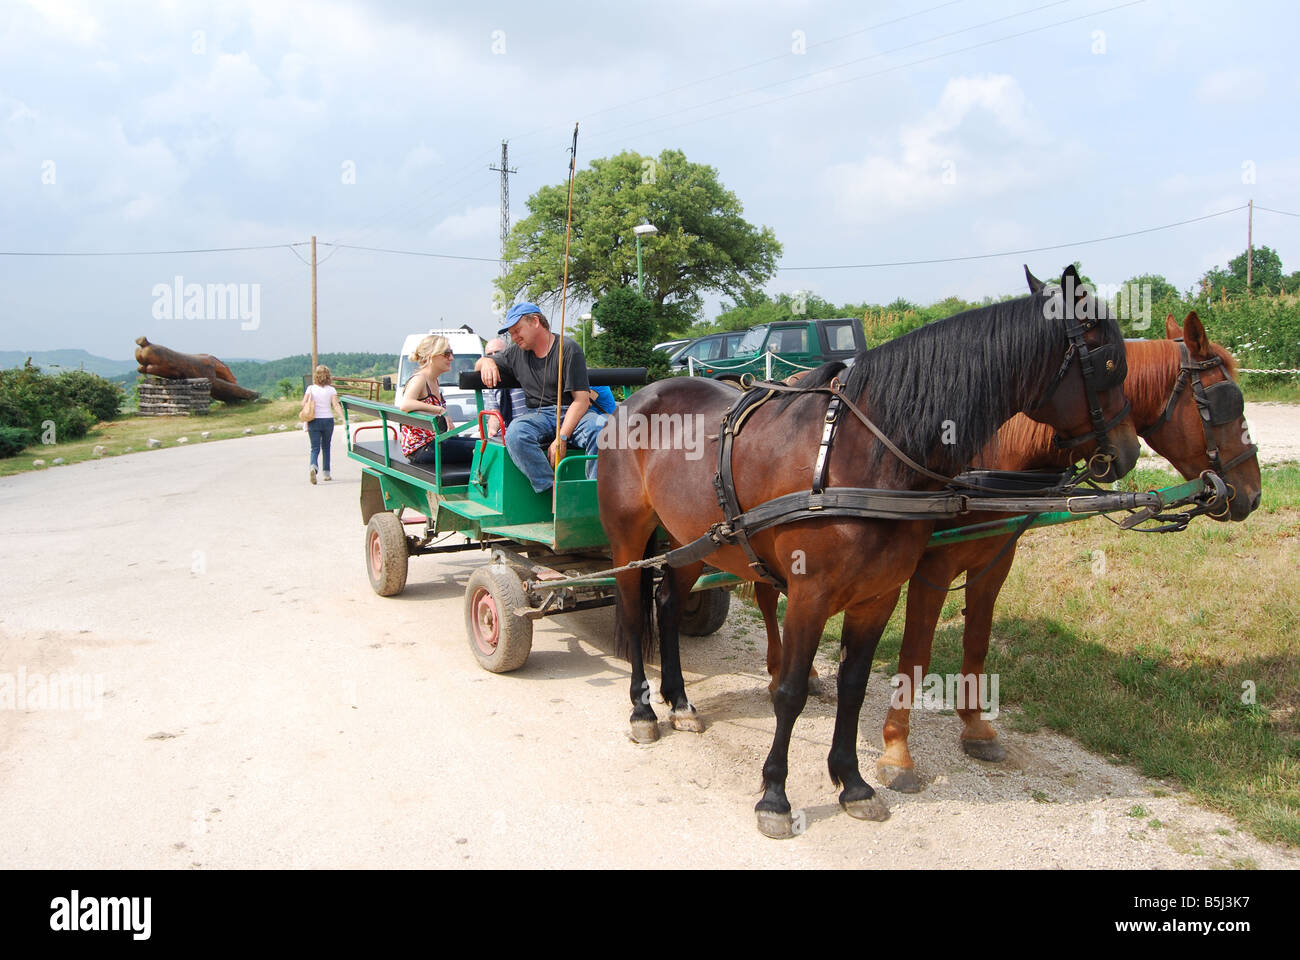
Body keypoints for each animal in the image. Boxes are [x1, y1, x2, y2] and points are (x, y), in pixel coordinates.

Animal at [596, 264, 1141, 837]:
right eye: (1109, 362)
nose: (1128, 453)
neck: (863, 453)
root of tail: (634, 398)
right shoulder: (809, 596)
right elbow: (789, 691)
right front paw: (775, 796)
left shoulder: (878, 595)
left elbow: (854, 686)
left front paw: (853, 784)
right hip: (629, 539)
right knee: (633, 610)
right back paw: (643, 712)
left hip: (691, 541)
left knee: (667, 605)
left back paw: (679, 701)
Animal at [873, 306, 1262, 790]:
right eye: (1226, 402)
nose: (1252, 494)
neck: (992, 454)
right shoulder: (934, 568)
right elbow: (915, 655)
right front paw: (897, 751)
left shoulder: (993, 563)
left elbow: (977, 641)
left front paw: (976, 727)